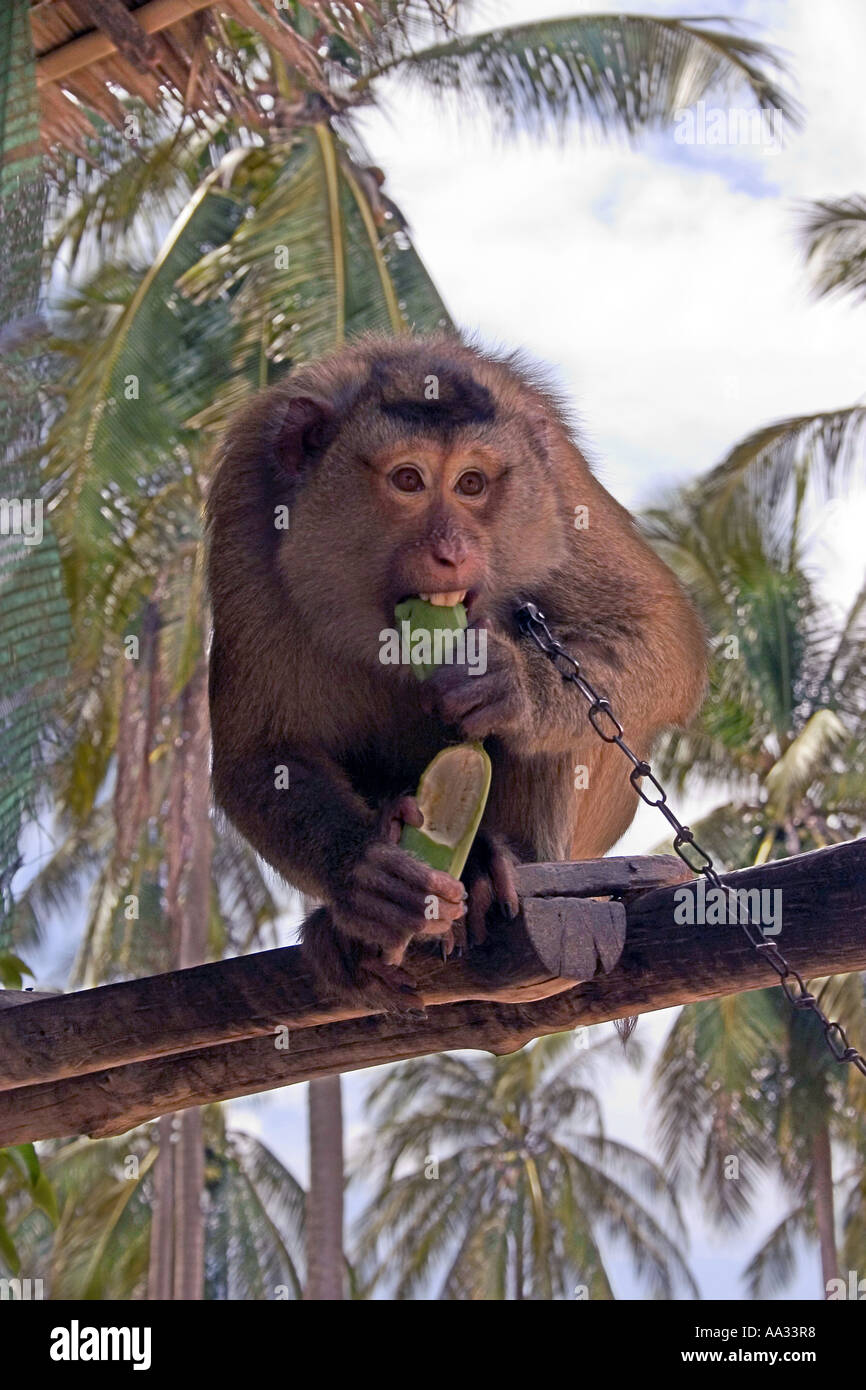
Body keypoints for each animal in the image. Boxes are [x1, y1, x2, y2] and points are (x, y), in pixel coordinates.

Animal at [206, 334, 706, 1010]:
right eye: (408, 480)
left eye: (472, 483)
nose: (452, 551)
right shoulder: (246, 514)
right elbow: (261, 755)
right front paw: (365, 878)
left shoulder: (556, 487)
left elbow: (660, 632)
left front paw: (507, 685)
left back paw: (503, 865)